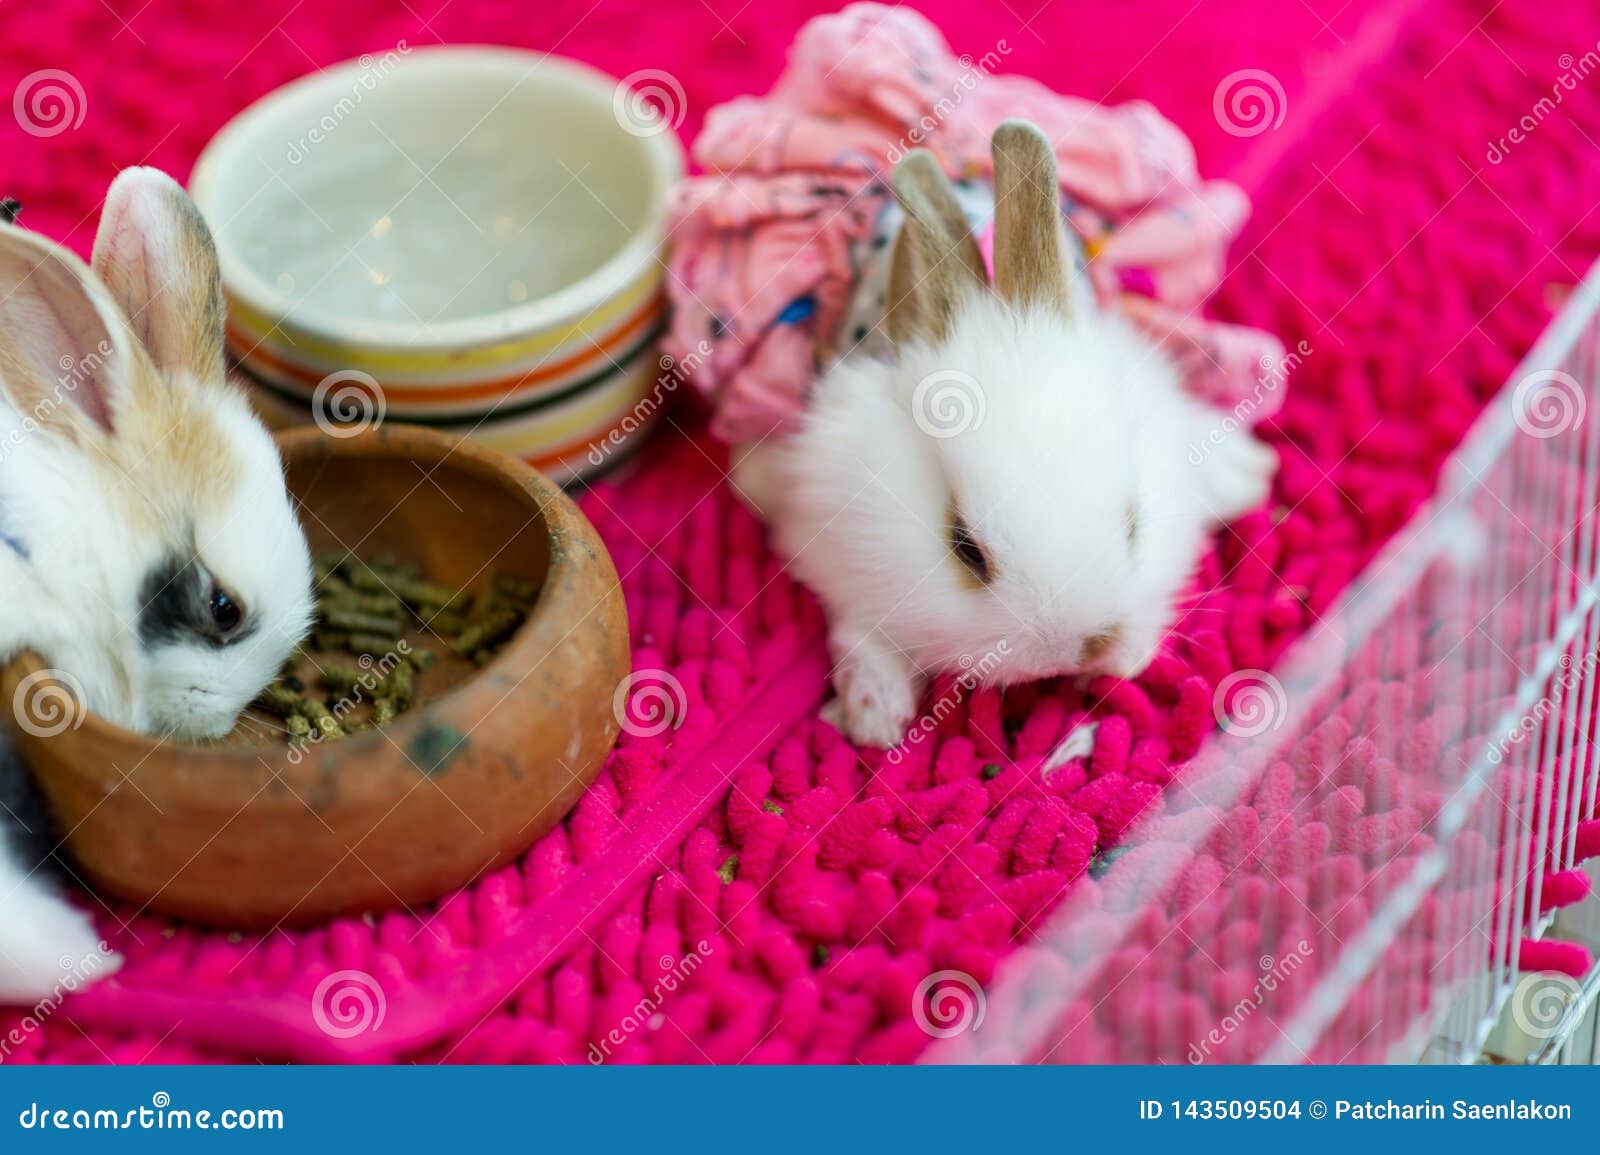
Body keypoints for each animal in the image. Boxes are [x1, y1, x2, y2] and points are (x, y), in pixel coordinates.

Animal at [733, 121, 1277, 747]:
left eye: (1133, 524)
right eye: (966, 549)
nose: (1076, 649)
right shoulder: (835, 551)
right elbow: (861, 633)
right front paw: (875, 719)